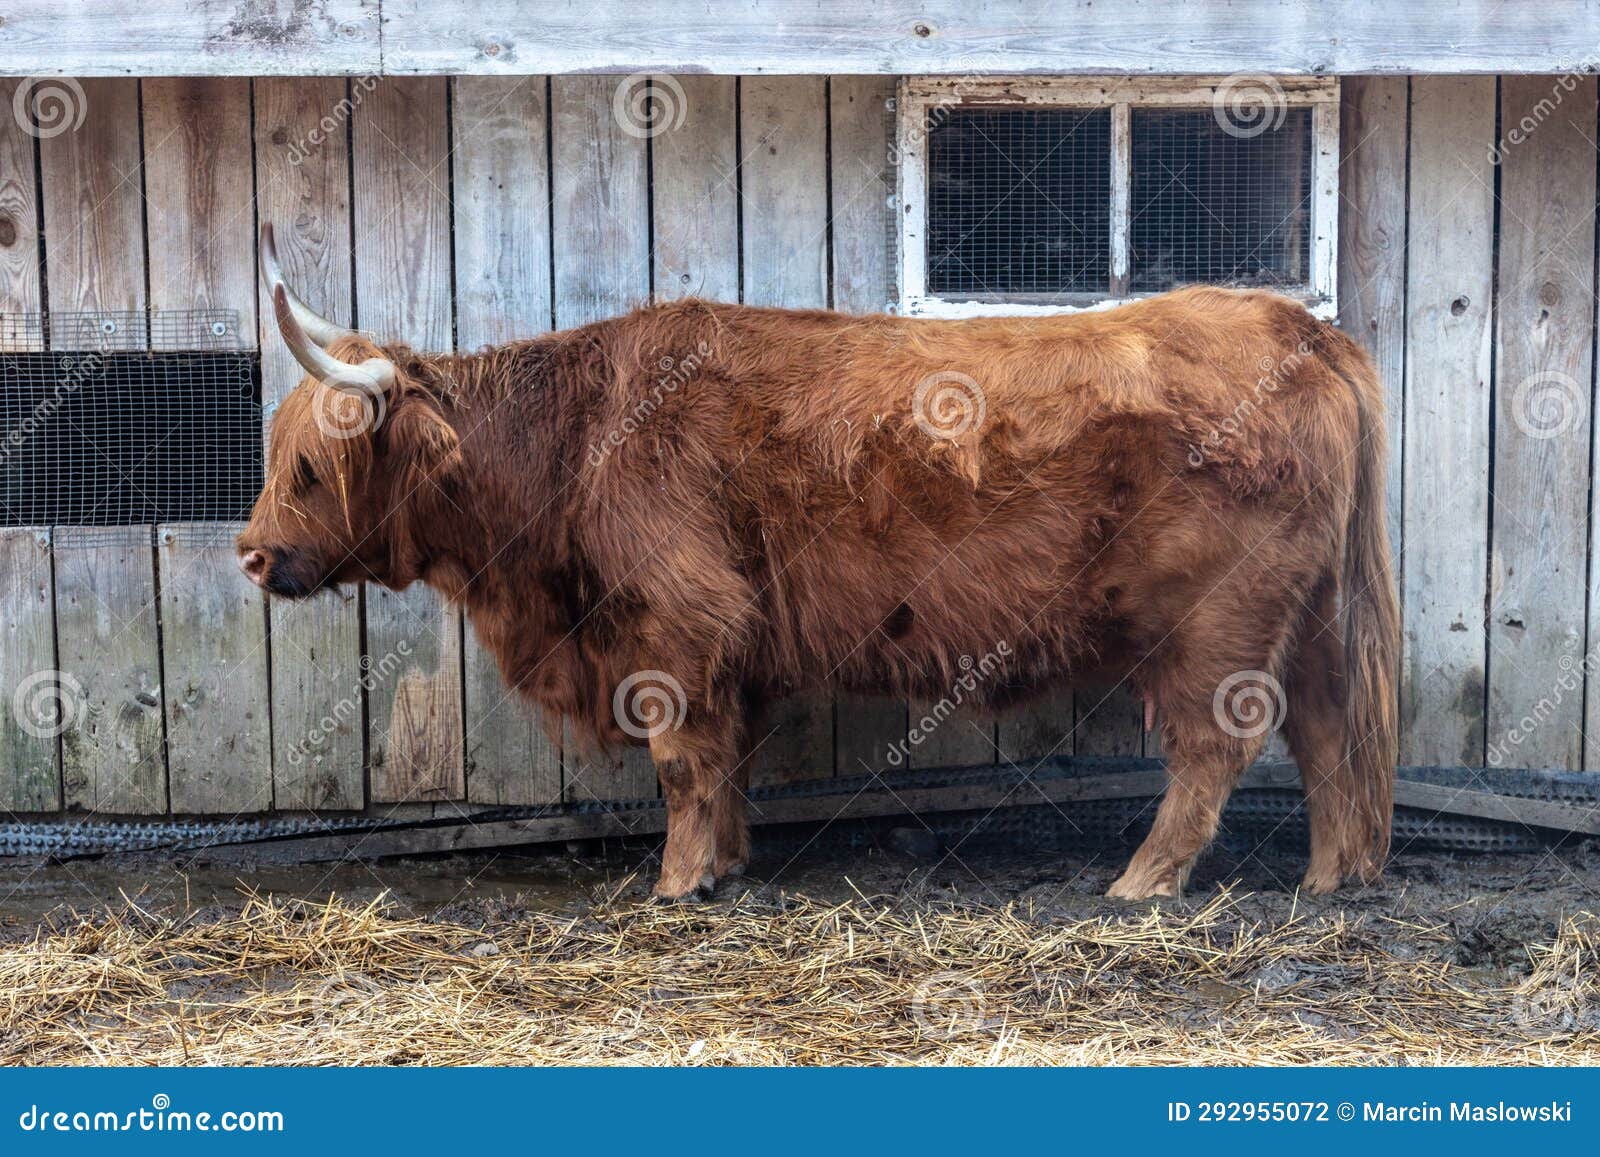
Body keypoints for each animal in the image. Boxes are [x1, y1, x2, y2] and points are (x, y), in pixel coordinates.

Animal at [240, 223, 1399, 903]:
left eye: (308, 463)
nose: (250, 554)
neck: (581, 438)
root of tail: (1299, 328)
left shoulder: (678, 620)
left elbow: (681, 760)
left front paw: (676, 885)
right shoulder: (732, 641)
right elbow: (727, 760)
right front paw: (727, 862)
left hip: (1218, 626)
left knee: (1216, 748)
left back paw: (1142, 883)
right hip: (1309, 616)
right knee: (1329, 732)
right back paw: (1330, 877)